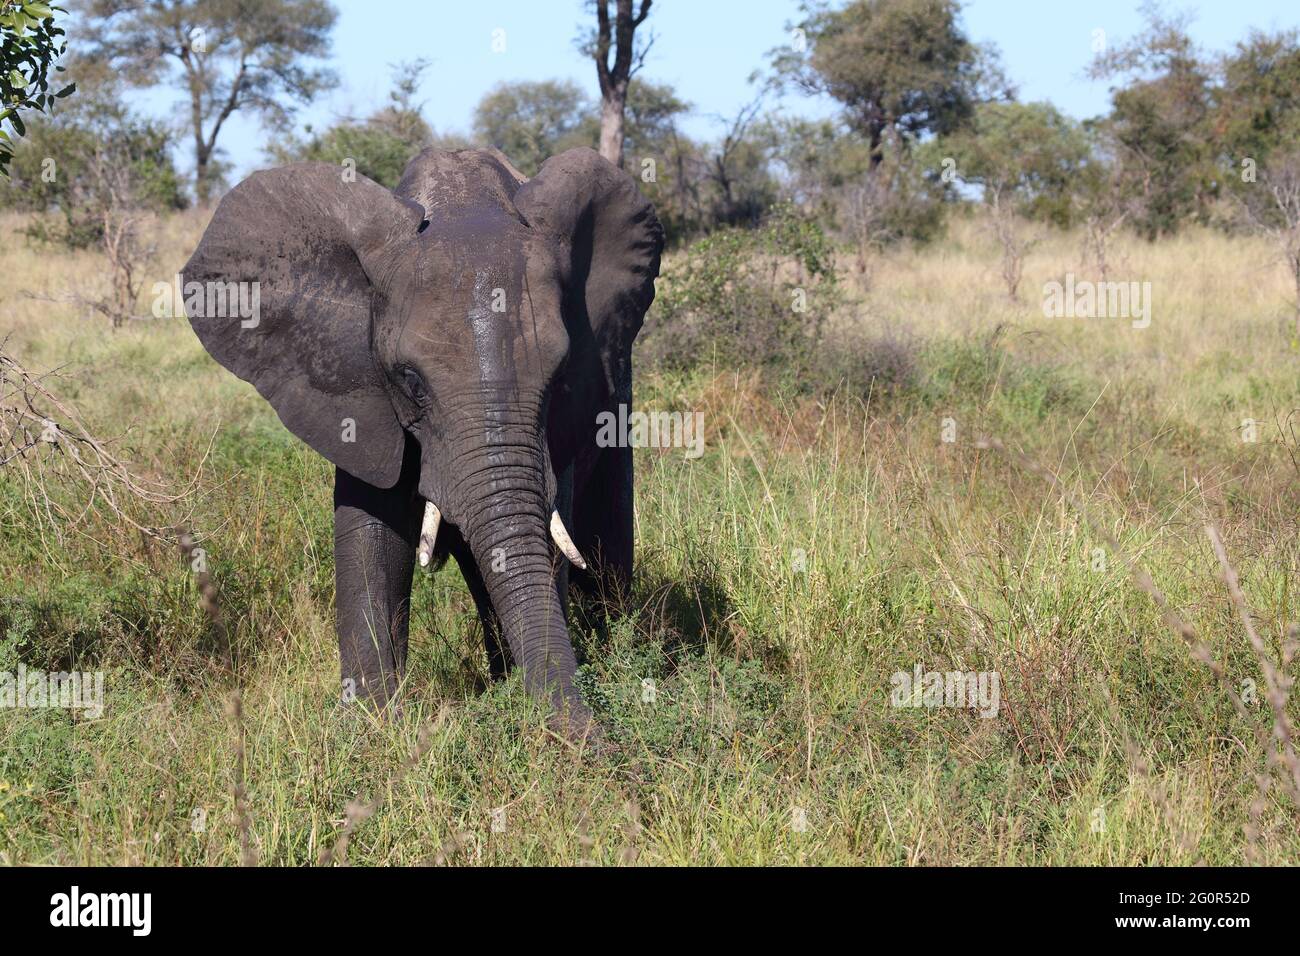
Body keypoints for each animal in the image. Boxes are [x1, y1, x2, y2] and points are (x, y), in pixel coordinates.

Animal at [183, 146, 664, 739]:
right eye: (411, 382)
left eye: (557, 381)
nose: (592, 741)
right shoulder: (362, 395)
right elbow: (370, 532)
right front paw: (371, 727)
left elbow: (550, 533)